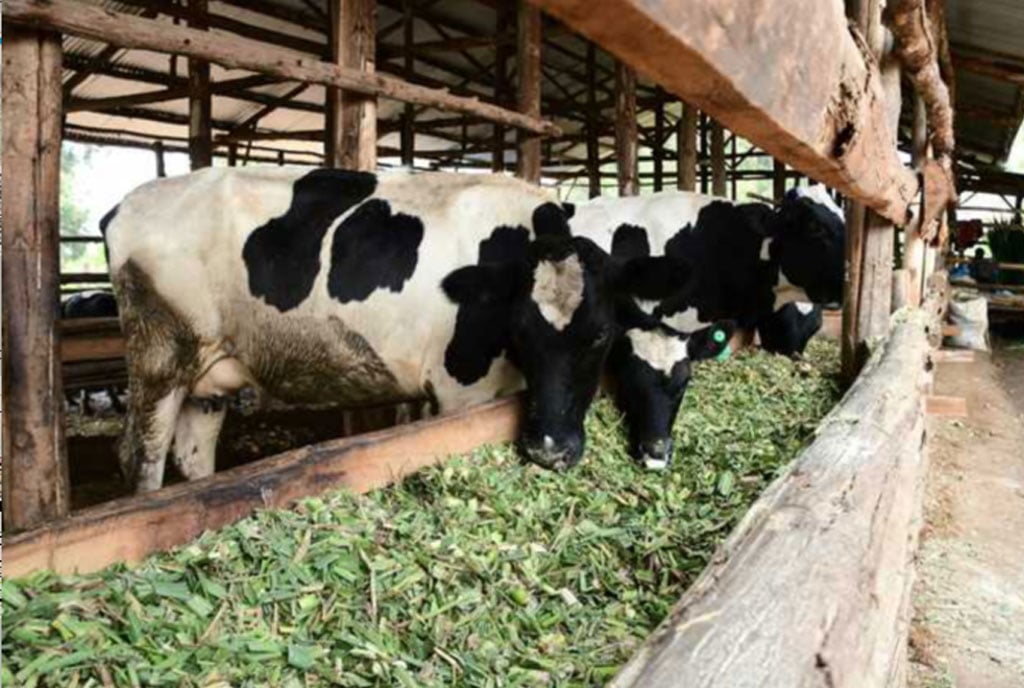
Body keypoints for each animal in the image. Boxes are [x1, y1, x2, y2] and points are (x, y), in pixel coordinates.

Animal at [103, 167, 729, 492]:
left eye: (600, 336)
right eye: (521, 330)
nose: (550, 452)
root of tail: (129, 200)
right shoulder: (461, 391)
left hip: (209, 373)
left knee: (194, 457)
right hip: (159, 356)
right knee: (142, 458)